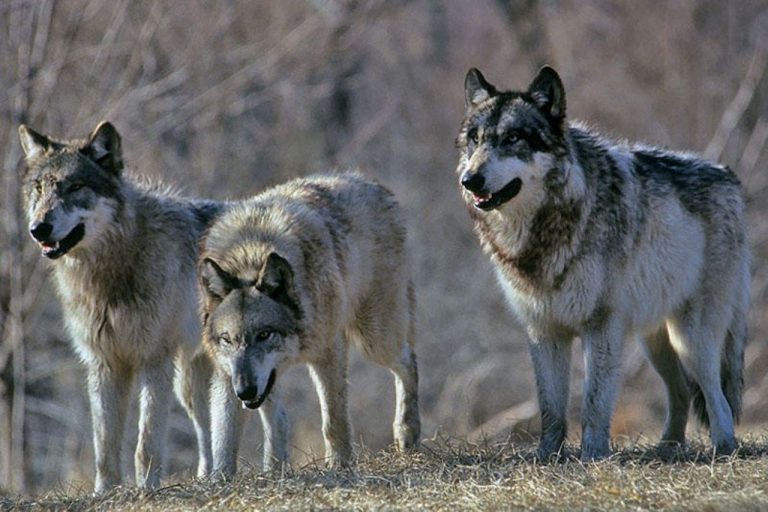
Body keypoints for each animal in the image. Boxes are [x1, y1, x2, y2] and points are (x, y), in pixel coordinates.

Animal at [18, 122, 222, 491]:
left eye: (75, 187)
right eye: (39, 188)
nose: (38, 229)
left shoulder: (154, 360)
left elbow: (146, 441)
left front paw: (147, 489)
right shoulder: (104, 363)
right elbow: (105, 444)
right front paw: (104, 492)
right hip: (188, 383)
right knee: (206, 428)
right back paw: (211, 477)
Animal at [199, 172, 420, 477]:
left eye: (265, 334)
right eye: (227, 339)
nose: (244, 390)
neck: (250, 256)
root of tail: (372, 184)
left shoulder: (328, 352)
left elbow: (333, 421)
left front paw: (340, 465)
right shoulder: (226, 374)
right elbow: (223, 437)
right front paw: (220, 479)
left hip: (375, 339)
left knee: (409, 360)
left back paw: (408, 432)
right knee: (277, 419)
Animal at [455, 66, 749, 460]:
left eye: (513, 138)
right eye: (475, 139)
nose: (470, 180)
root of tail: (728, 176)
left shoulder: (601, 325)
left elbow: (593, 403)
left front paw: (592, 455)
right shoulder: (543, 331)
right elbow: (550, 408)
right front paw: (547, 456)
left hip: (693, 338)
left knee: (717, 396)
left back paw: (724, 447)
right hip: (654, 342)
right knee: (682, 391)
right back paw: (667, 449)